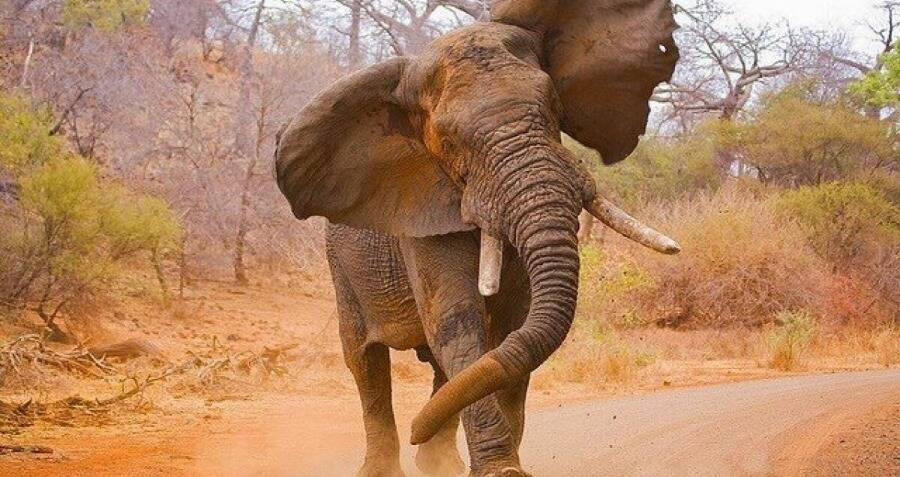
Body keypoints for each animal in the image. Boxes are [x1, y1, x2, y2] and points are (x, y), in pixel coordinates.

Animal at [275, 1, 681, 475]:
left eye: (554, 106)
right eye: (450, 141)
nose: (416, 428)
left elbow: (509, 329)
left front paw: (503, 468)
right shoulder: (426, 208)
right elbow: (456, 321)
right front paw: (502, 470)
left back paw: (439, 464)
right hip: (340, 265)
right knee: (365, 362)